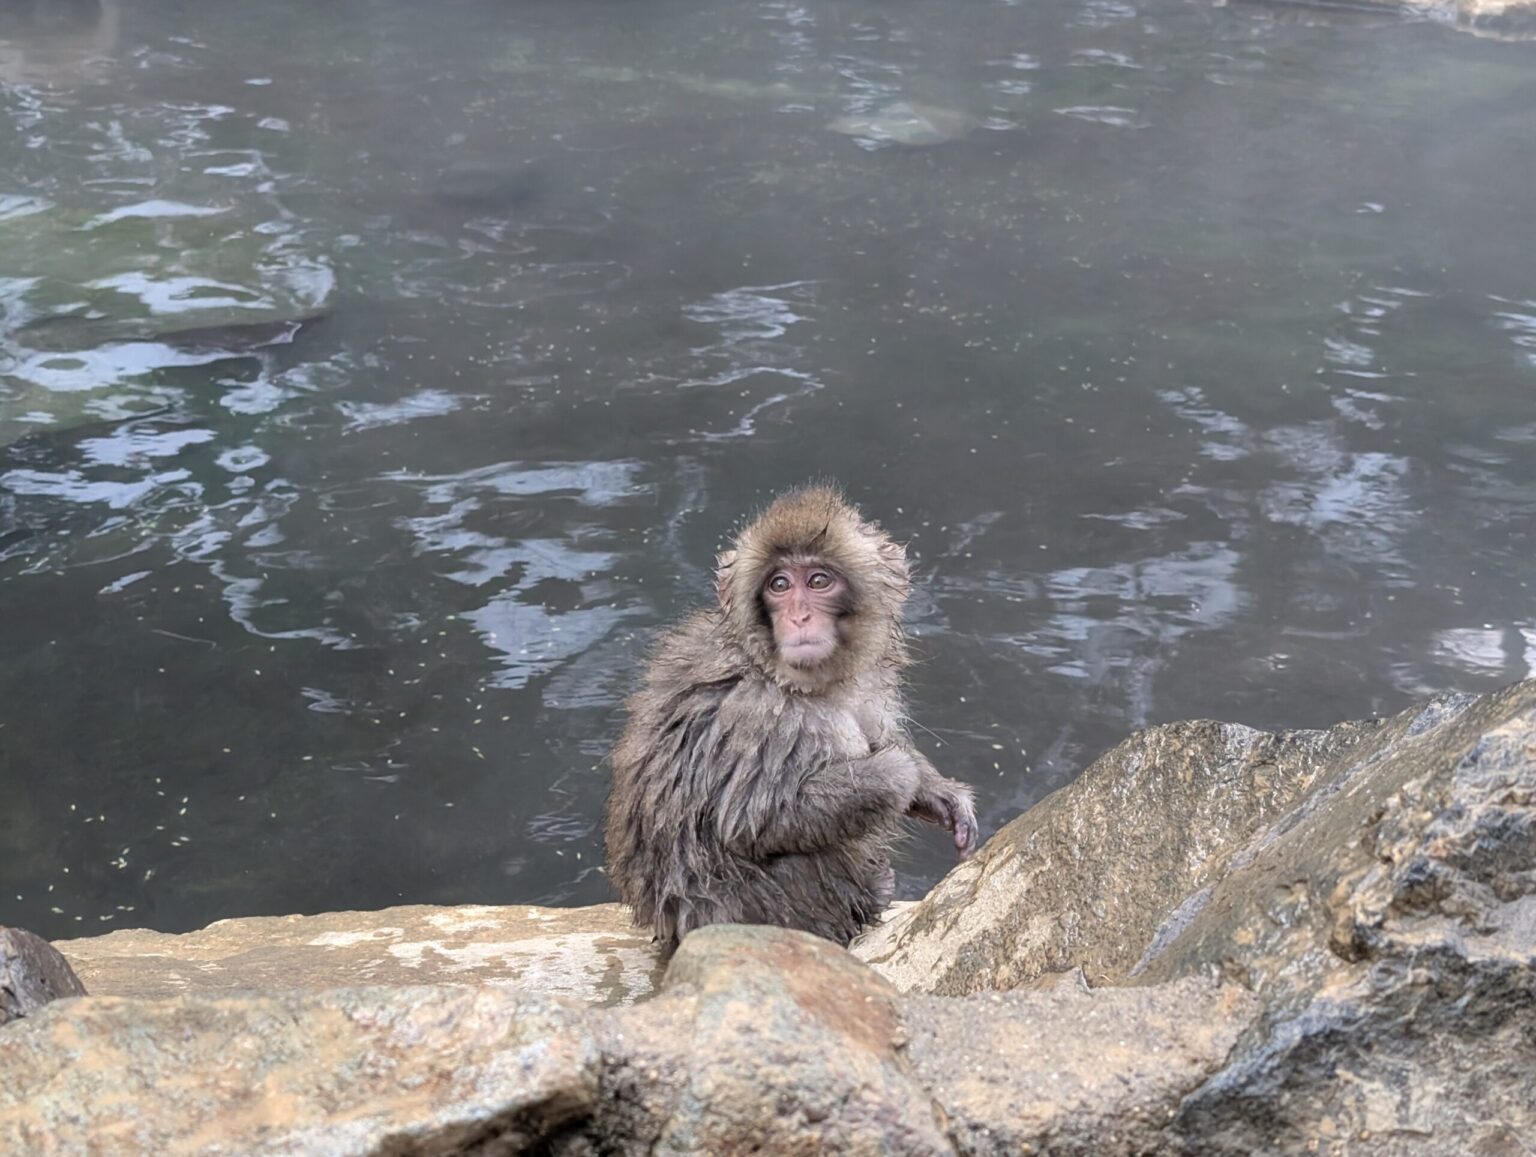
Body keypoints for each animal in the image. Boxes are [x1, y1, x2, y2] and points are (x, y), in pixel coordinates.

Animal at [604, 483, 978, 950]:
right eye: (779, 585)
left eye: (818, 581)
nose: (799, 616)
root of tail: (667, 926)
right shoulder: (761, 714)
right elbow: (754, 820)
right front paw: (901, 773)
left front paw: (938, 792)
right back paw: (869, 896)